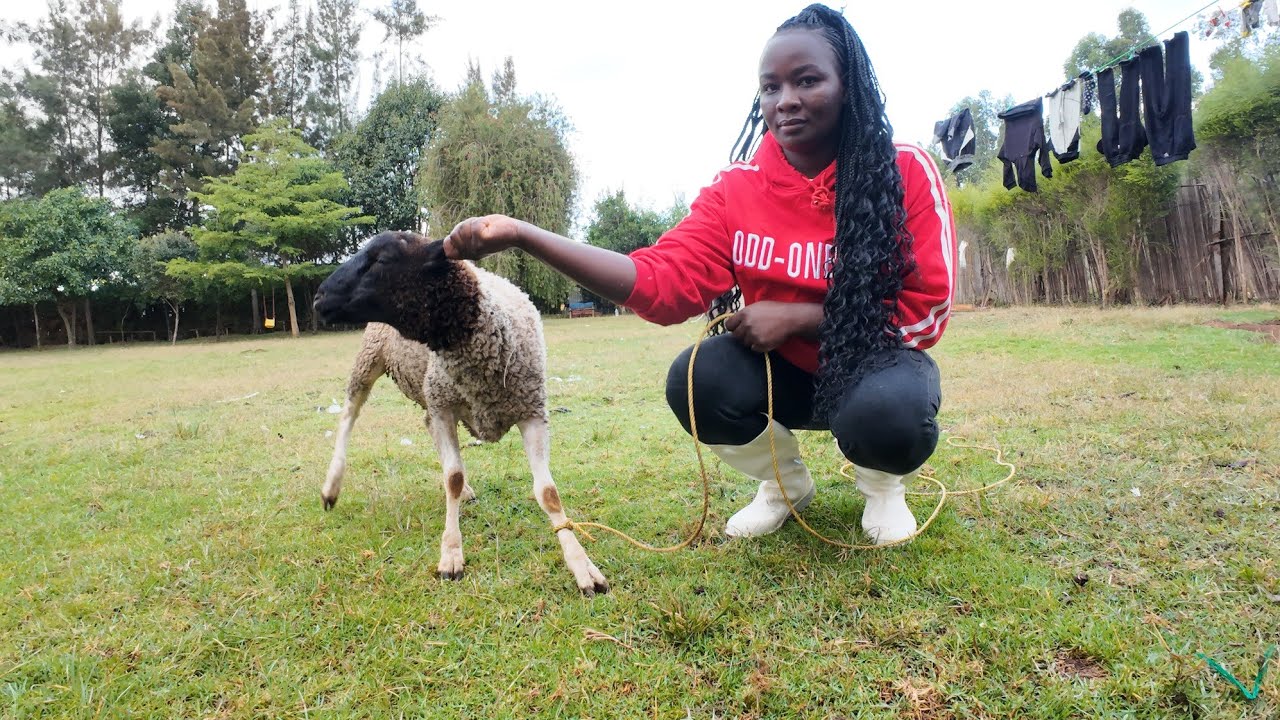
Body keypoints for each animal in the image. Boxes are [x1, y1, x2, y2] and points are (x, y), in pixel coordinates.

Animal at [314, 230, 609, 595]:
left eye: (381, 259)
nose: (318, 296)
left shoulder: (531, 412)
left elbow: (548, 493)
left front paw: (583, 566)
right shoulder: (445, 408)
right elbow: (452, 478)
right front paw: (451, 555)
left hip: (428, 389)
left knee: (423, 424)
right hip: (373, 358)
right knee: (349, 415)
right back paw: (331, 486)